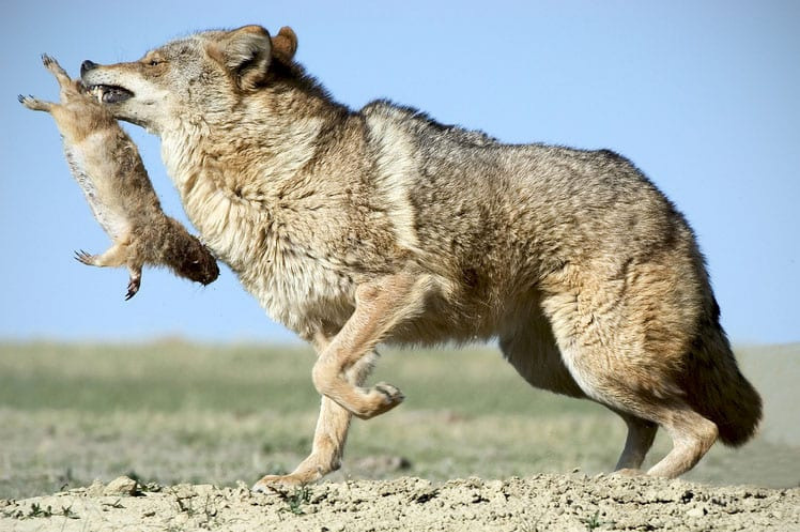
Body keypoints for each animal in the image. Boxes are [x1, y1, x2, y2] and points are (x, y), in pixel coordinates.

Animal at [19, 56, 219, 302]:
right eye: (204, 259)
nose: (218, 274)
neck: (172, 237)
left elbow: (132, 264)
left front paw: (133, 285)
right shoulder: (144, 243)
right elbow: (118, 254)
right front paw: (88, 257)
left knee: (67, 87)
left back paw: (51, 66)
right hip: (78, 118)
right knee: (58, 107)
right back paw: (34, 101)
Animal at [76, 25, 764, 488]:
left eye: (153, 60)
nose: (83, 61)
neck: (282, 173)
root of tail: (671, 209)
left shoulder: (391, 291)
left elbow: (325, 378)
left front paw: (378, 404)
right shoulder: (331, 325)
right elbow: (328, 407)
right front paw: (303, 477)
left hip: (596, 364)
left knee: (699, 427)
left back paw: (641, 490)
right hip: (557, 370)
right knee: (648, 424)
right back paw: (610, 483)